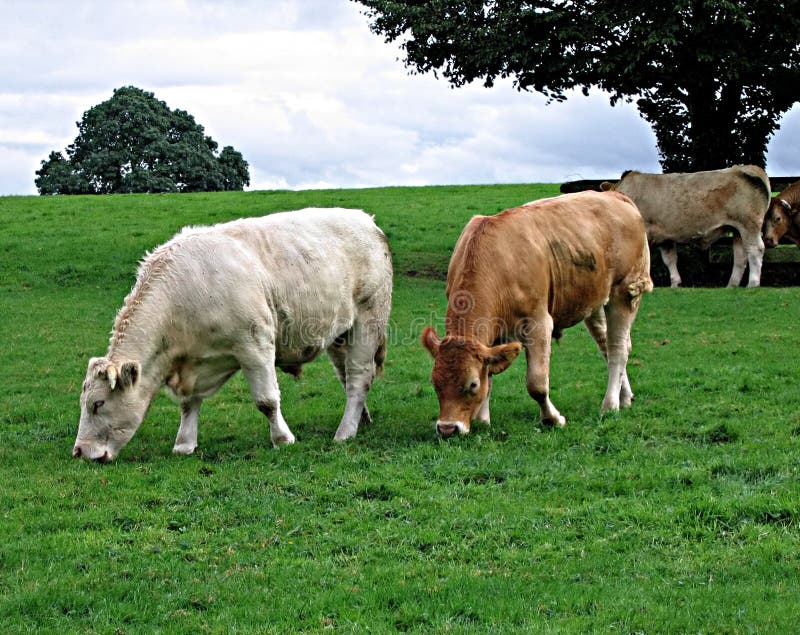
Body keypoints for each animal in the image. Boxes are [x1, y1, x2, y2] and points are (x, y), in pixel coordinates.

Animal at [73, 208, 392, 462]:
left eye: (98, 404)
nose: (80, 451)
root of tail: (366, 220)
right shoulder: (195, 360)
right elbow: (188, 404)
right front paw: (184, 444)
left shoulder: (255, 343)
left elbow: (267, 400)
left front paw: (282, 439)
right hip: (339, 334)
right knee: (346, 377)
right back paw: (361, 420)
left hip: (368, 321)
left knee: (359, 377)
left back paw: (345, 432)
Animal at [421, 190, 653, 438]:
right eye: (434, 383)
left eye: (472, 384)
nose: (447, 428)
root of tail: (615, 195)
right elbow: (490, 372)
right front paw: (484, 420)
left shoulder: (538, 322)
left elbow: (537, 384)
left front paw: (553, 419)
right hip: (595, 302)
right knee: (608, 346)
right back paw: (624, 397)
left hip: (625, 291)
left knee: (618, 349)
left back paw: (610, 405)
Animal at [601, 165, 771, 288]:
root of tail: (746, 168)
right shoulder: (665, 237)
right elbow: (670, 260)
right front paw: (675, 283)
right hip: (737, 230)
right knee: (740, 256)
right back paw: (732, 285)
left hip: (749, 224)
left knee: (755, 250)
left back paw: (753, 283)